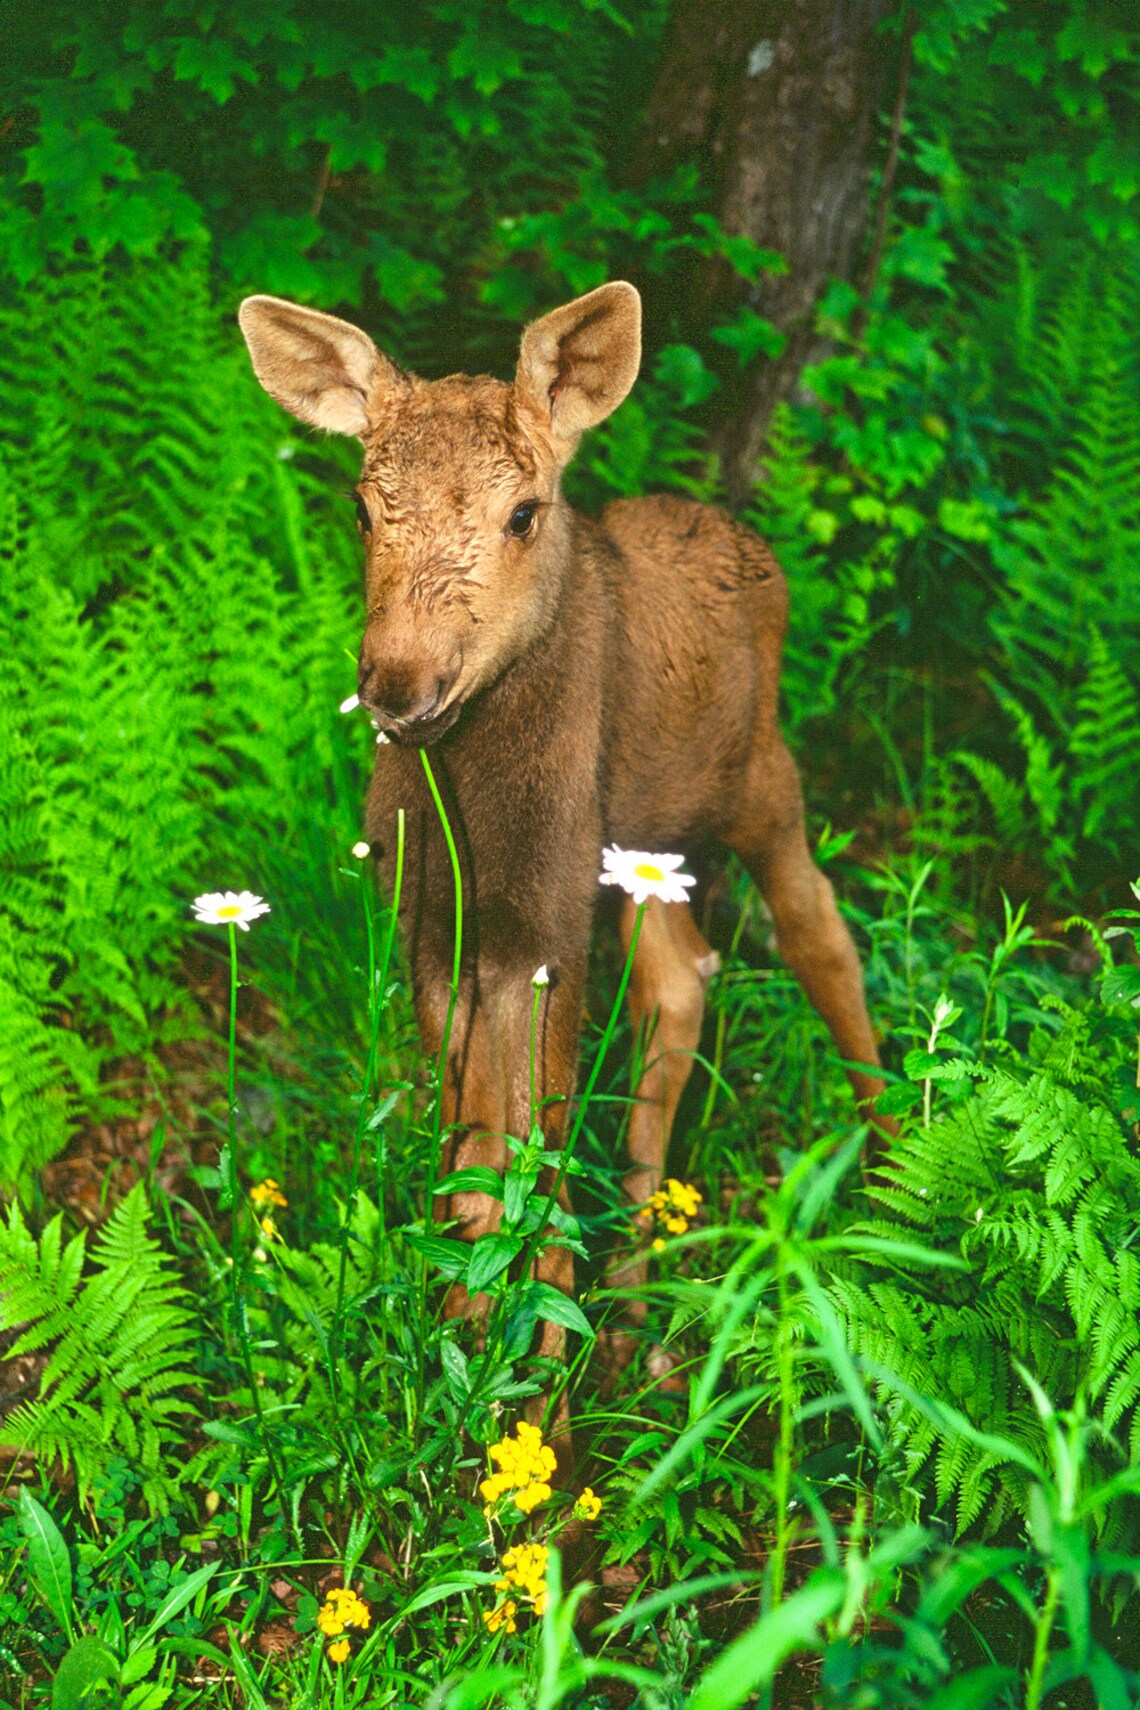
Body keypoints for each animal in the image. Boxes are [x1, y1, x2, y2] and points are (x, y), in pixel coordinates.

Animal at [238, 281, 886, 1382]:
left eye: (522, 513)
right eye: (362, 507)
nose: (400, 684)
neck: (472, 814)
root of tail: (740, 535)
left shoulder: (544, 922)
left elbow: (530, 1158)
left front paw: (534, 1384)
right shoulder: (438, 929)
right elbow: (472, 1152)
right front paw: (463, 1339)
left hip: (759, 782)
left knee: (819, 933)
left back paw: (893, 1162)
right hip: (638, 855)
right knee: (683, 981)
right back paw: (634, 1295)